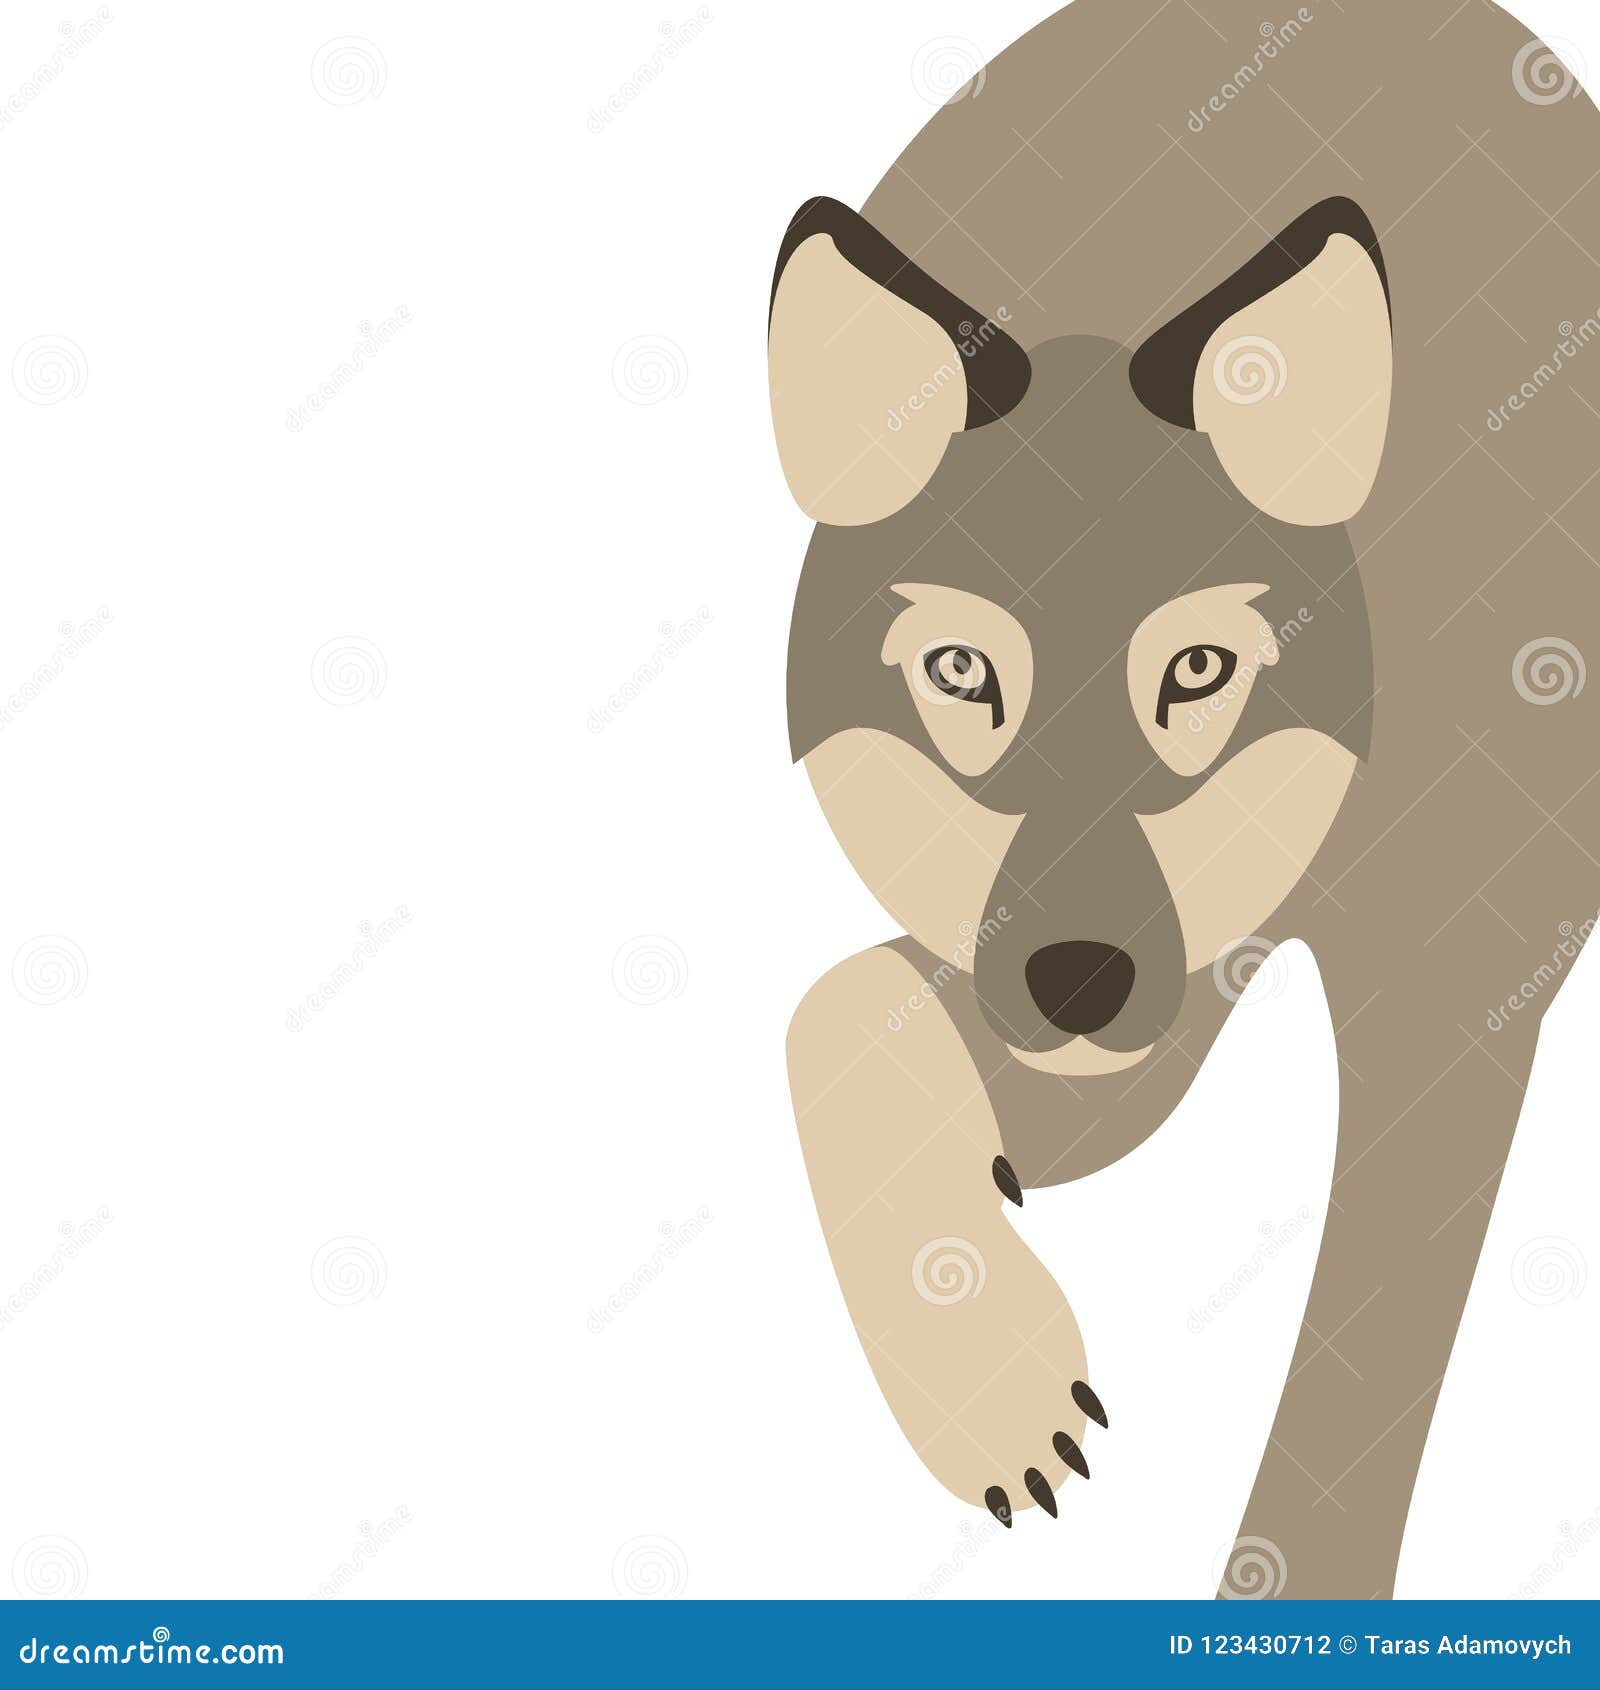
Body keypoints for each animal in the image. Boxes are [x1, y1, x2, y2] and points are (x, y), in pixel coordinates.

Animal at [770, 0, 1600, 1598]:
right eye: (962, 671)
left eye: (1198, 668)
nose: (1080, 977)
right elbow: (836, 1001)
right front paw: (995, 1390)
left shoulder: (1452, 999)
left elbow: (1371, 1342)